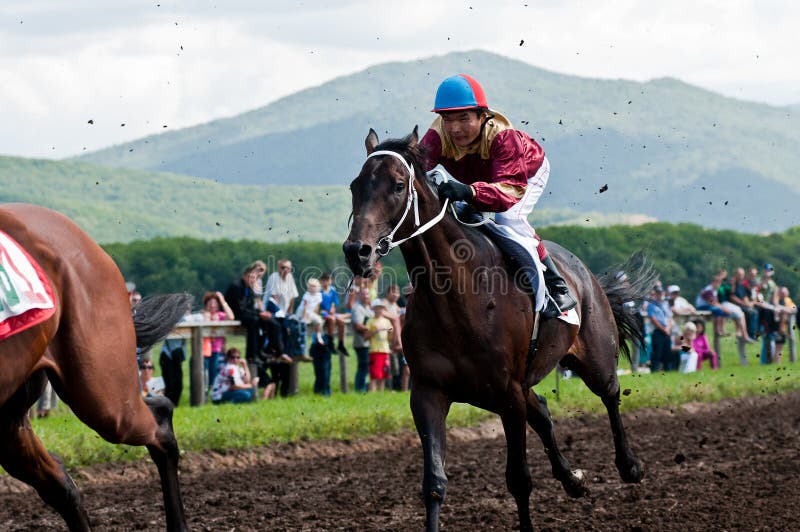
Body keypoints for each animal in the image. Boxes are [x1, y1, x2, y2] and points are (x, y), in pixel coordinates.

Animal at [343, 129, 654, 531]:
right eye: (356, 185)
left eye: (398, 186)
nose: (357, 252)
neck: (455, 297)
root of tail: (586, 272)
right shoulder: (429, 391)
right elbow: (434, 483)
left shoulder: (508, 394)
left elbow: (519, 479)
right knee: (542, 412)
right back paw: (573, 480)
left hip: (594, 357)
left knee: (610, 393)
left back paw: (629, 466)